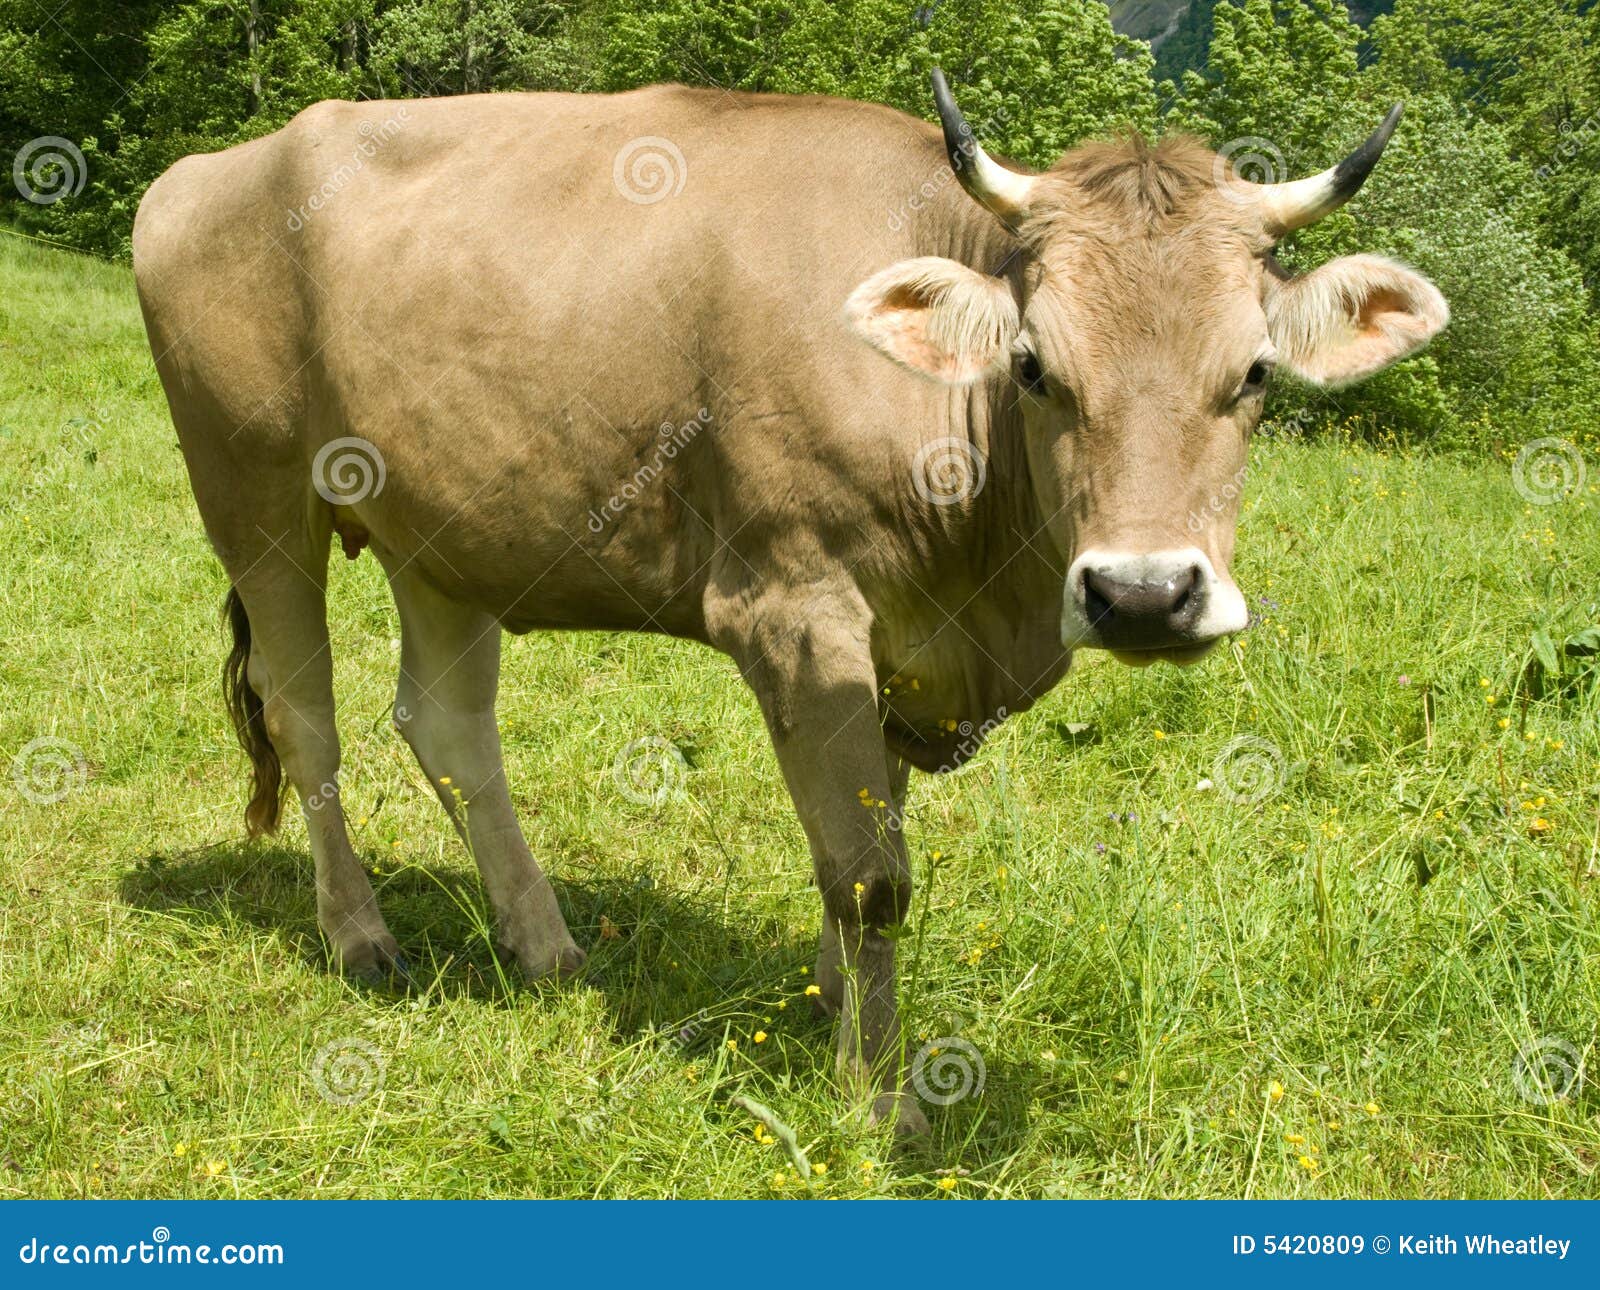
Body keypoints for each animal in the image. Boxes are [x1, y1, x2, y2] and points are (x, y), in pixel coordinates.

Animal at [133, 68, 1447, 1134]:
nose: (1142, 595)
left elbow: (871, 838)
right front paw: (878, 1102)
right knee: (306, 716)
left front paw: (833, 1005)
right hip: (254, 493)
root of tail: (210, 168)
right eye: (1034, 367)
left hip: (447, 529)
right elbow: (871, 875)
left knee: (449, 727)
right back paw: (362, 936)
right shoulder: (795, 609)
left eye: (1255, 374)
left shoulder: (904, 647)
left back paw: (544, 946)